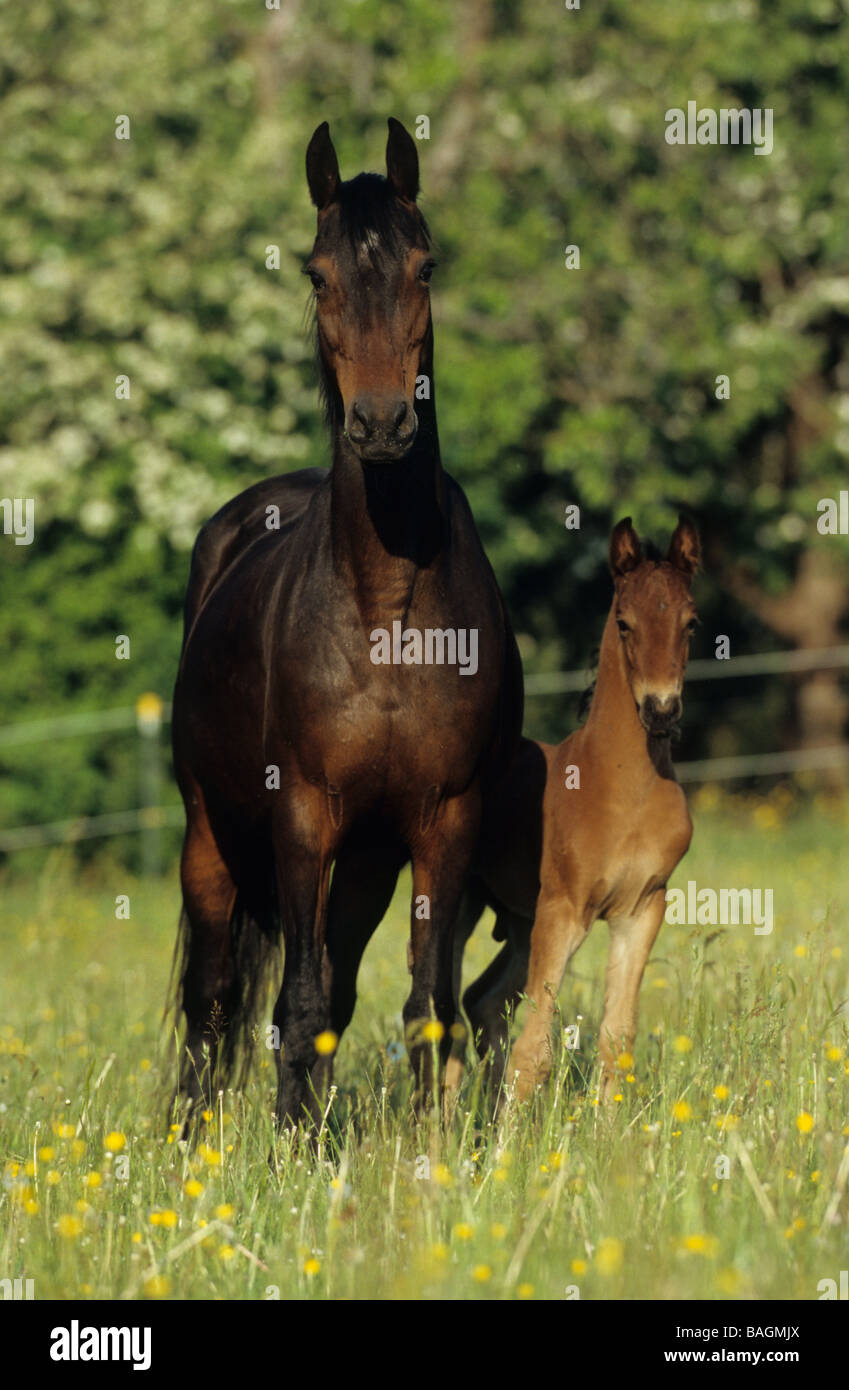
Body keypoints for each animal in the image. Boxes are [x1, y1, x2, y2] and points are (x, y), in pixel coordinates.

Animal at [170, 118, 523, 1130]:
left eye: (424, 265)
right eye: (317, 273)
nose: (379, 424)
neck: (387, 612)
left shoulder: (443, 822)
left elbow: (423, 1004)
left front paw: (428, 1143)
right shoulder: (301, 816)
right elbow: (293, 1002)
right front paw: (296, 1146)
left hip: (366, 862)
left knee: (338, 983)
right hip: (210, 838)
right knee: (214, 1002)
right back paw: (193, 1140)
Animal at [454, 515, 700, 1101]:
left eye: (692, 624)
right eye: (625, 624)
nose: (661, 710)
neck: (625, 791)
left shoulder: (641, 910)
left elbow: (617, 1039)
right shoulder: (563, 909)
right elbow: (534, 1050)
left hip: (518, 921)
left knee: (480, 1001)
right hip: (469, 905)